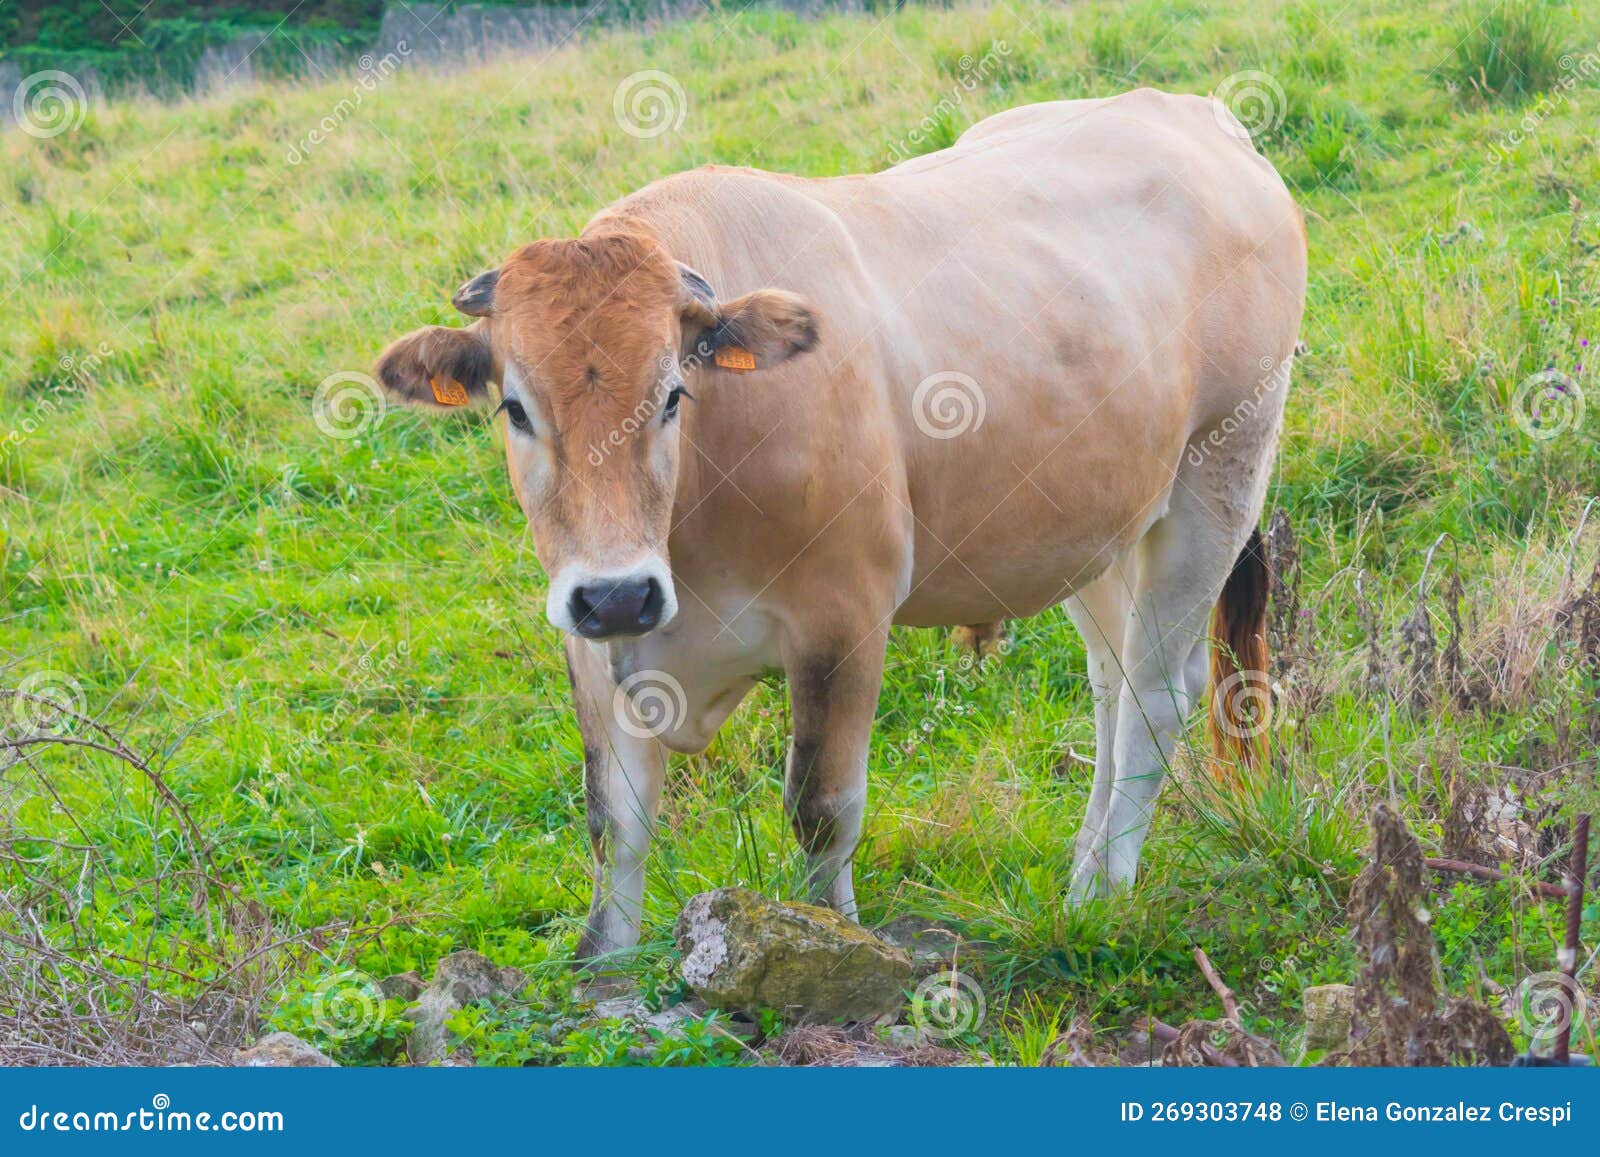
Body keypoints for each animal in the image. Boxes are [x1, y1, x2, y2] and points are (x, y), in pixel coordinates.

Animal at [374, 90, 1307, 960]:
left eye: (673, 393)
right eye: (515, 408)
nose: (619, 596)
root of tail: (1192, 111)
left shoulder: (844, 617)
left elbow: (820, 809)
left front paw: (832, 940)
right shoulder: (591, 644)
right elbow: (615, 822)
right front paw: (605, 965)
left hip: (1221, 472)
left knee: (1158, 691)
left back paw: (1101, 893)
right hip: (1097, 523)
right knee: (1111, 682)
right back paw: (1083, 868)